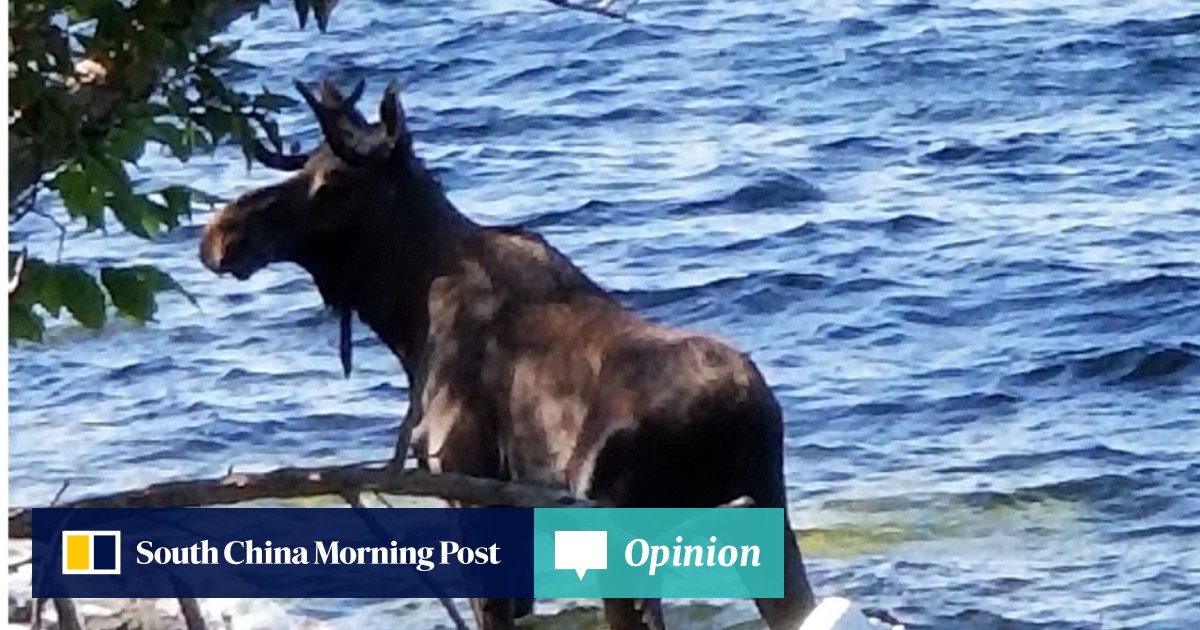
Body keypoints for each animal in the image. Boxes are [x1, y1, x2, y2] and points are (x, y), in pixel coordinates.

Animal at [199, 79, 817, 630]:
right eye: (303, 168)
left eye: (333, 183)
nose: (221, 235)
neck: (406, 316)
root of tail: (731, 414)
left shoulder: (468, 489)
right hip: (762, 511)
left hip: (624, 532)